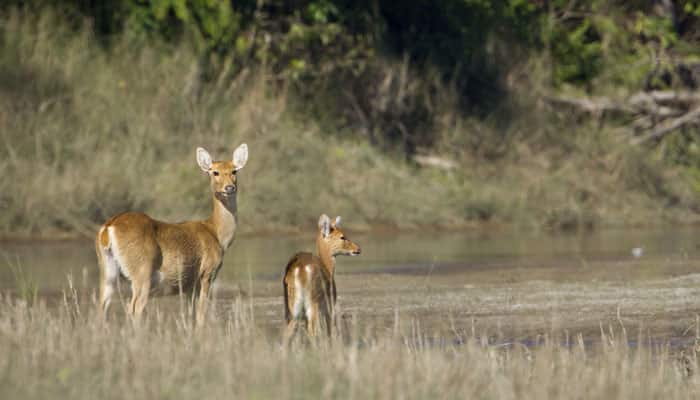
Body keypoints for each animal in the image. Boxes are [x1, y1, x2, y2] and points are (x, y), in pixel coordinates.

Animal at [95, 144, 248, 326]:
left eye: (234, 171)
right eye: (214, 172)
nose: (229, 188)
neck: (216, 233)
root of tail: (108, 227)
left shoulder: (189, 286)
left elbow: (191, 315)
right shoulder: (206, 273)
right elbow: (201, 315)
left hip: (107, 269)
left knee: (102, 306)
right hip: (141, 270)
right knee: (134, 308)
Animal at [283, 214, 361, 343]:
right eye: (342, 236)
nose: (358, 249)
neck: (328, 268)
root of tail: (300, 268)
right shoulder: (329, 306)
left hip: (293, 307)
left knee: (287, 333)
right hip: (312, 303)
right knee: (312, 331)